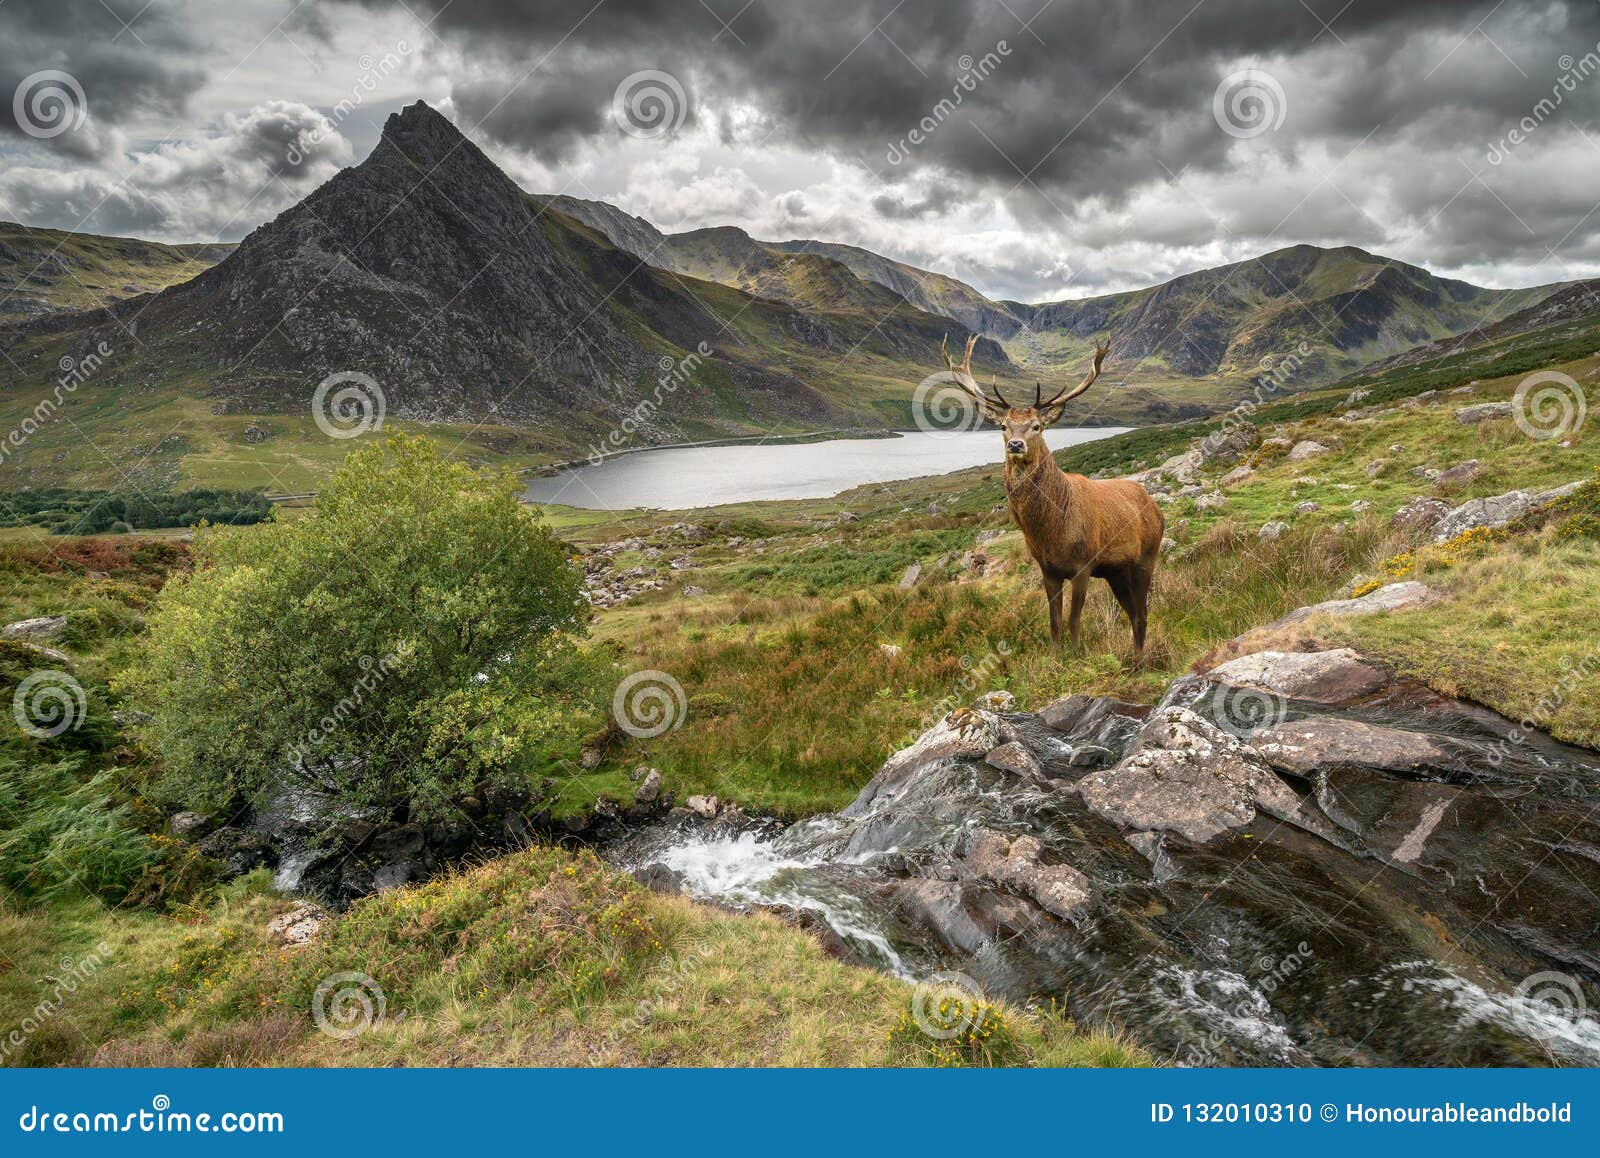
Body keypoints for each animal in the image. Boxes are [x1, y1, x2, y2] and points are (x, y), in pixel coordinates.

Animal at [937, 334, 1164, 661]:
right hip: (1116, 571)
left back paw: (1140, 658)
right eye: (1003, 426)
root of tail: (1156, 507)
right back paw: (1133, 656)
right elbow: (1054, 620)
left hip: (1147, 557)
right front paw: (1056, 656)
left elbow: (1073, 619)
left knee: (1143, 612)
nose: (1016, 444)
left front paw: (1076, 655)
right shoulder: (1048, 569)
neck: (1052, 530)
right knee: (1133, 612)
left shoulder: (1083, 564)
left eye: (1037, 426)